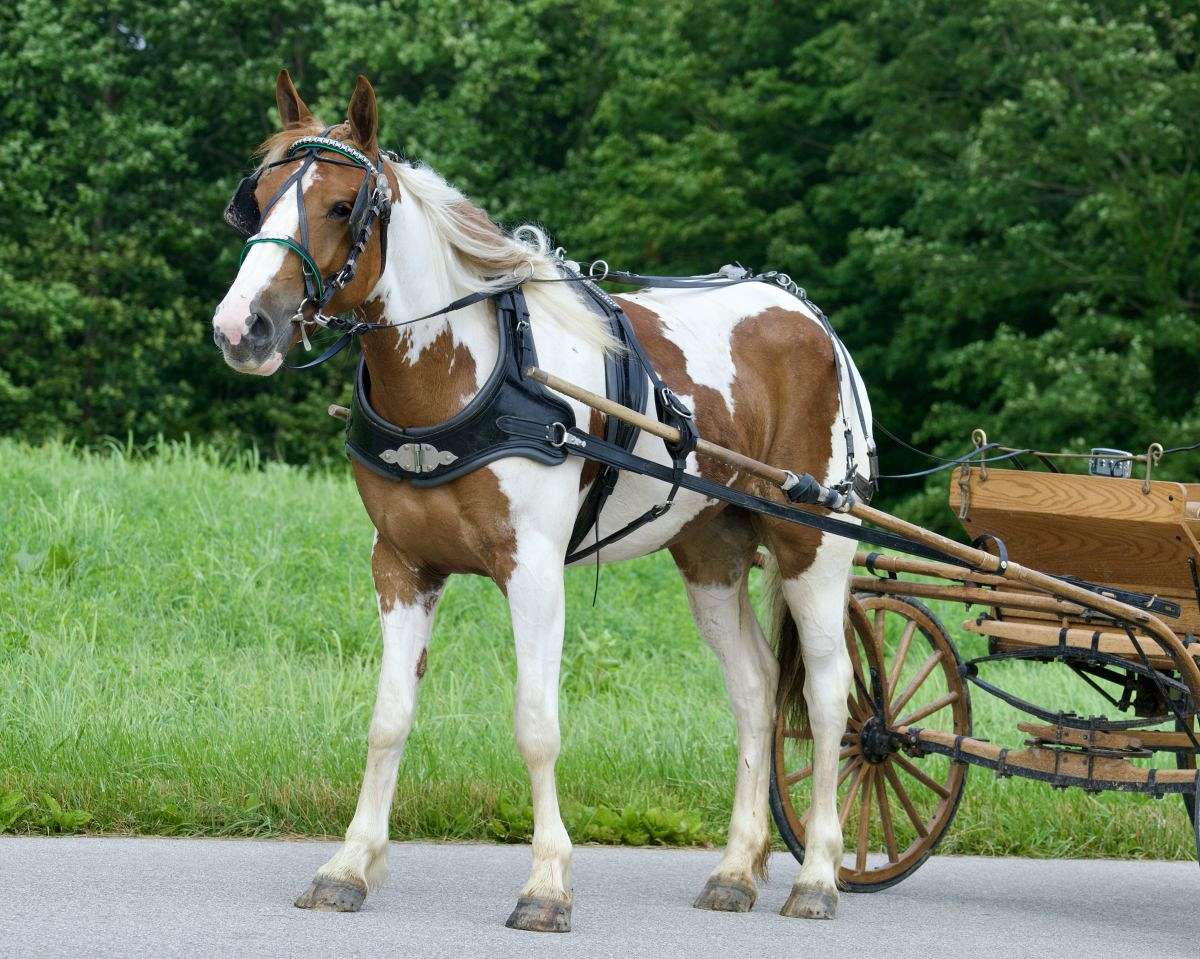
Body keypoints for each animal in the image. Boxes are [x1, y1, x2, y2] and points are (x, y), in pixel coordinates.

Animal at [211, 71, 873, 932]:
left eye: (341, 205)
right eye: (255, 200)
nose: (242, 327)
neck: (464, 375)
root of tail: (809, 317)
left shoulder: (532, 569)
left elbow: (536, 724)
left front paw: (547, 883)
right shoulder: (401, 567)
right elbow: (387, 720)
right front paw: (349, 865)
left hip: (814, 542)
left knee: (827, 700)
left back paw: (818, 873)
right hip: (710, 552)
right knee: (757, 690)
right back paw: (735, 867)